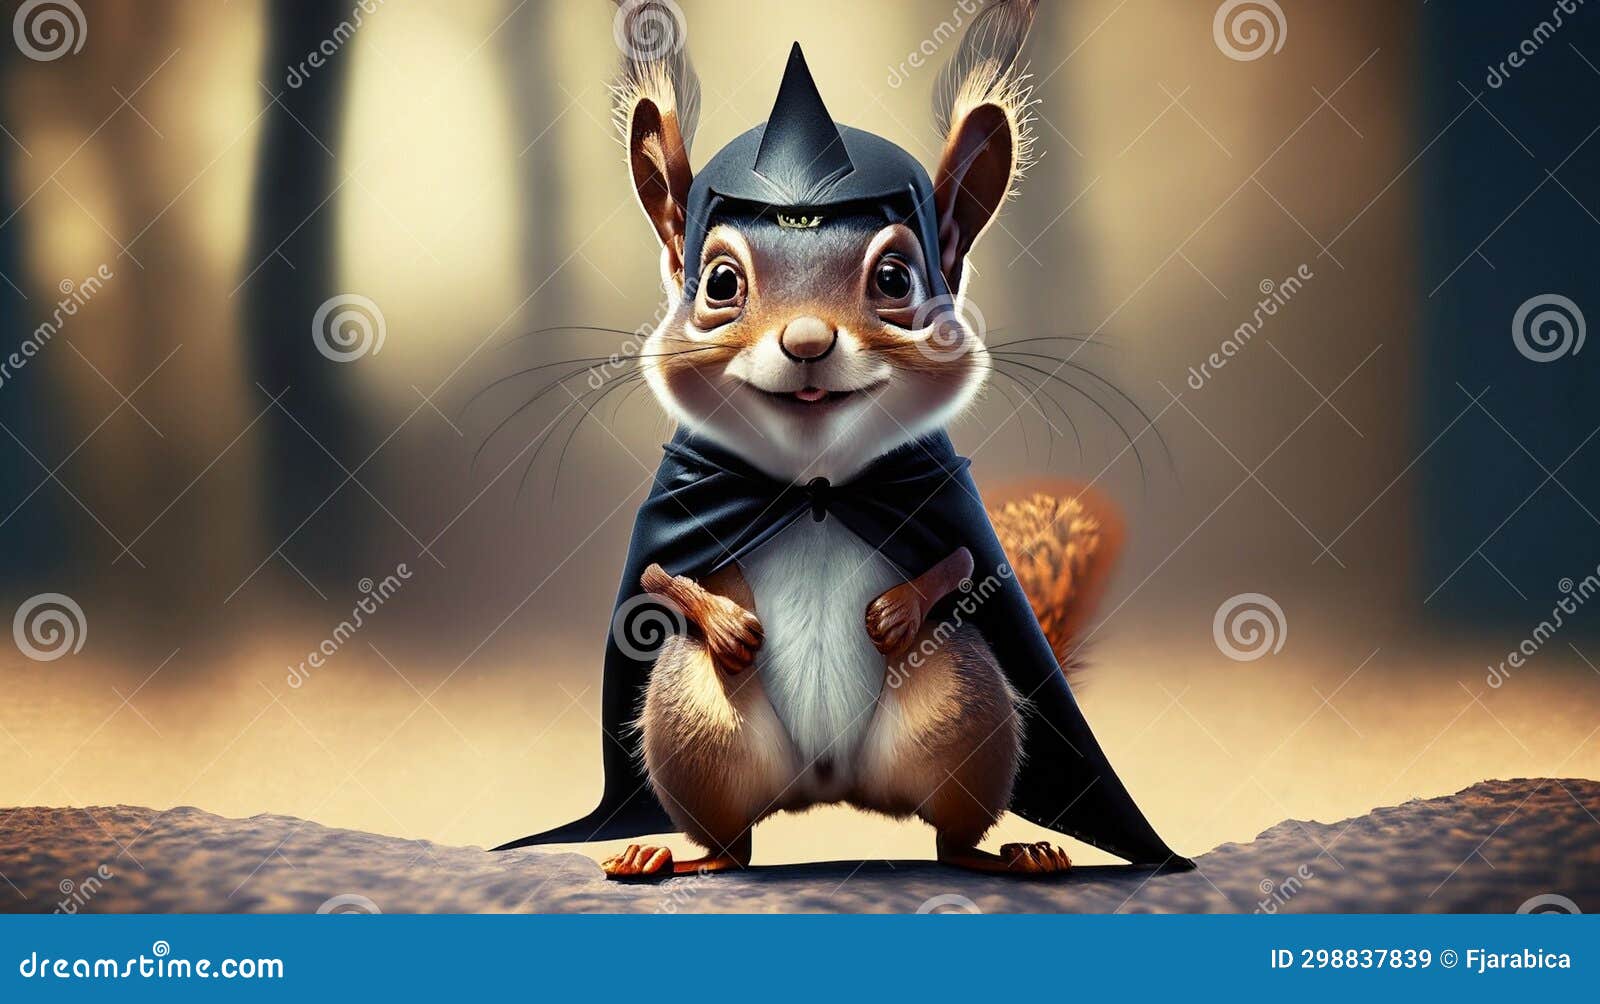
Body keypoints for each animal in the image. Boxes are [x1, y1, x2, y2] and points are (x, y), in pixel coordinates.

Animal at [495, 0, 1185, 882]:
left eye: (895, 280)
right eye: (720, 282)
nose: (807, 342)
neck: (816, 482)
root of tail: (827, 782)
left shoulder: (943, 500)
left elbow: (966, 561)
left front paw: (898, 610)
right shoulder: (677, 506)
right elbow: (658, 573)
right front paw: (723, 622)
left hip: (966, 704)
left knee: (951, 836)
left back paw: (1016, 853)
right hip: (692, 717)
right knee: (732, 842)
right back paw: (664, 856)